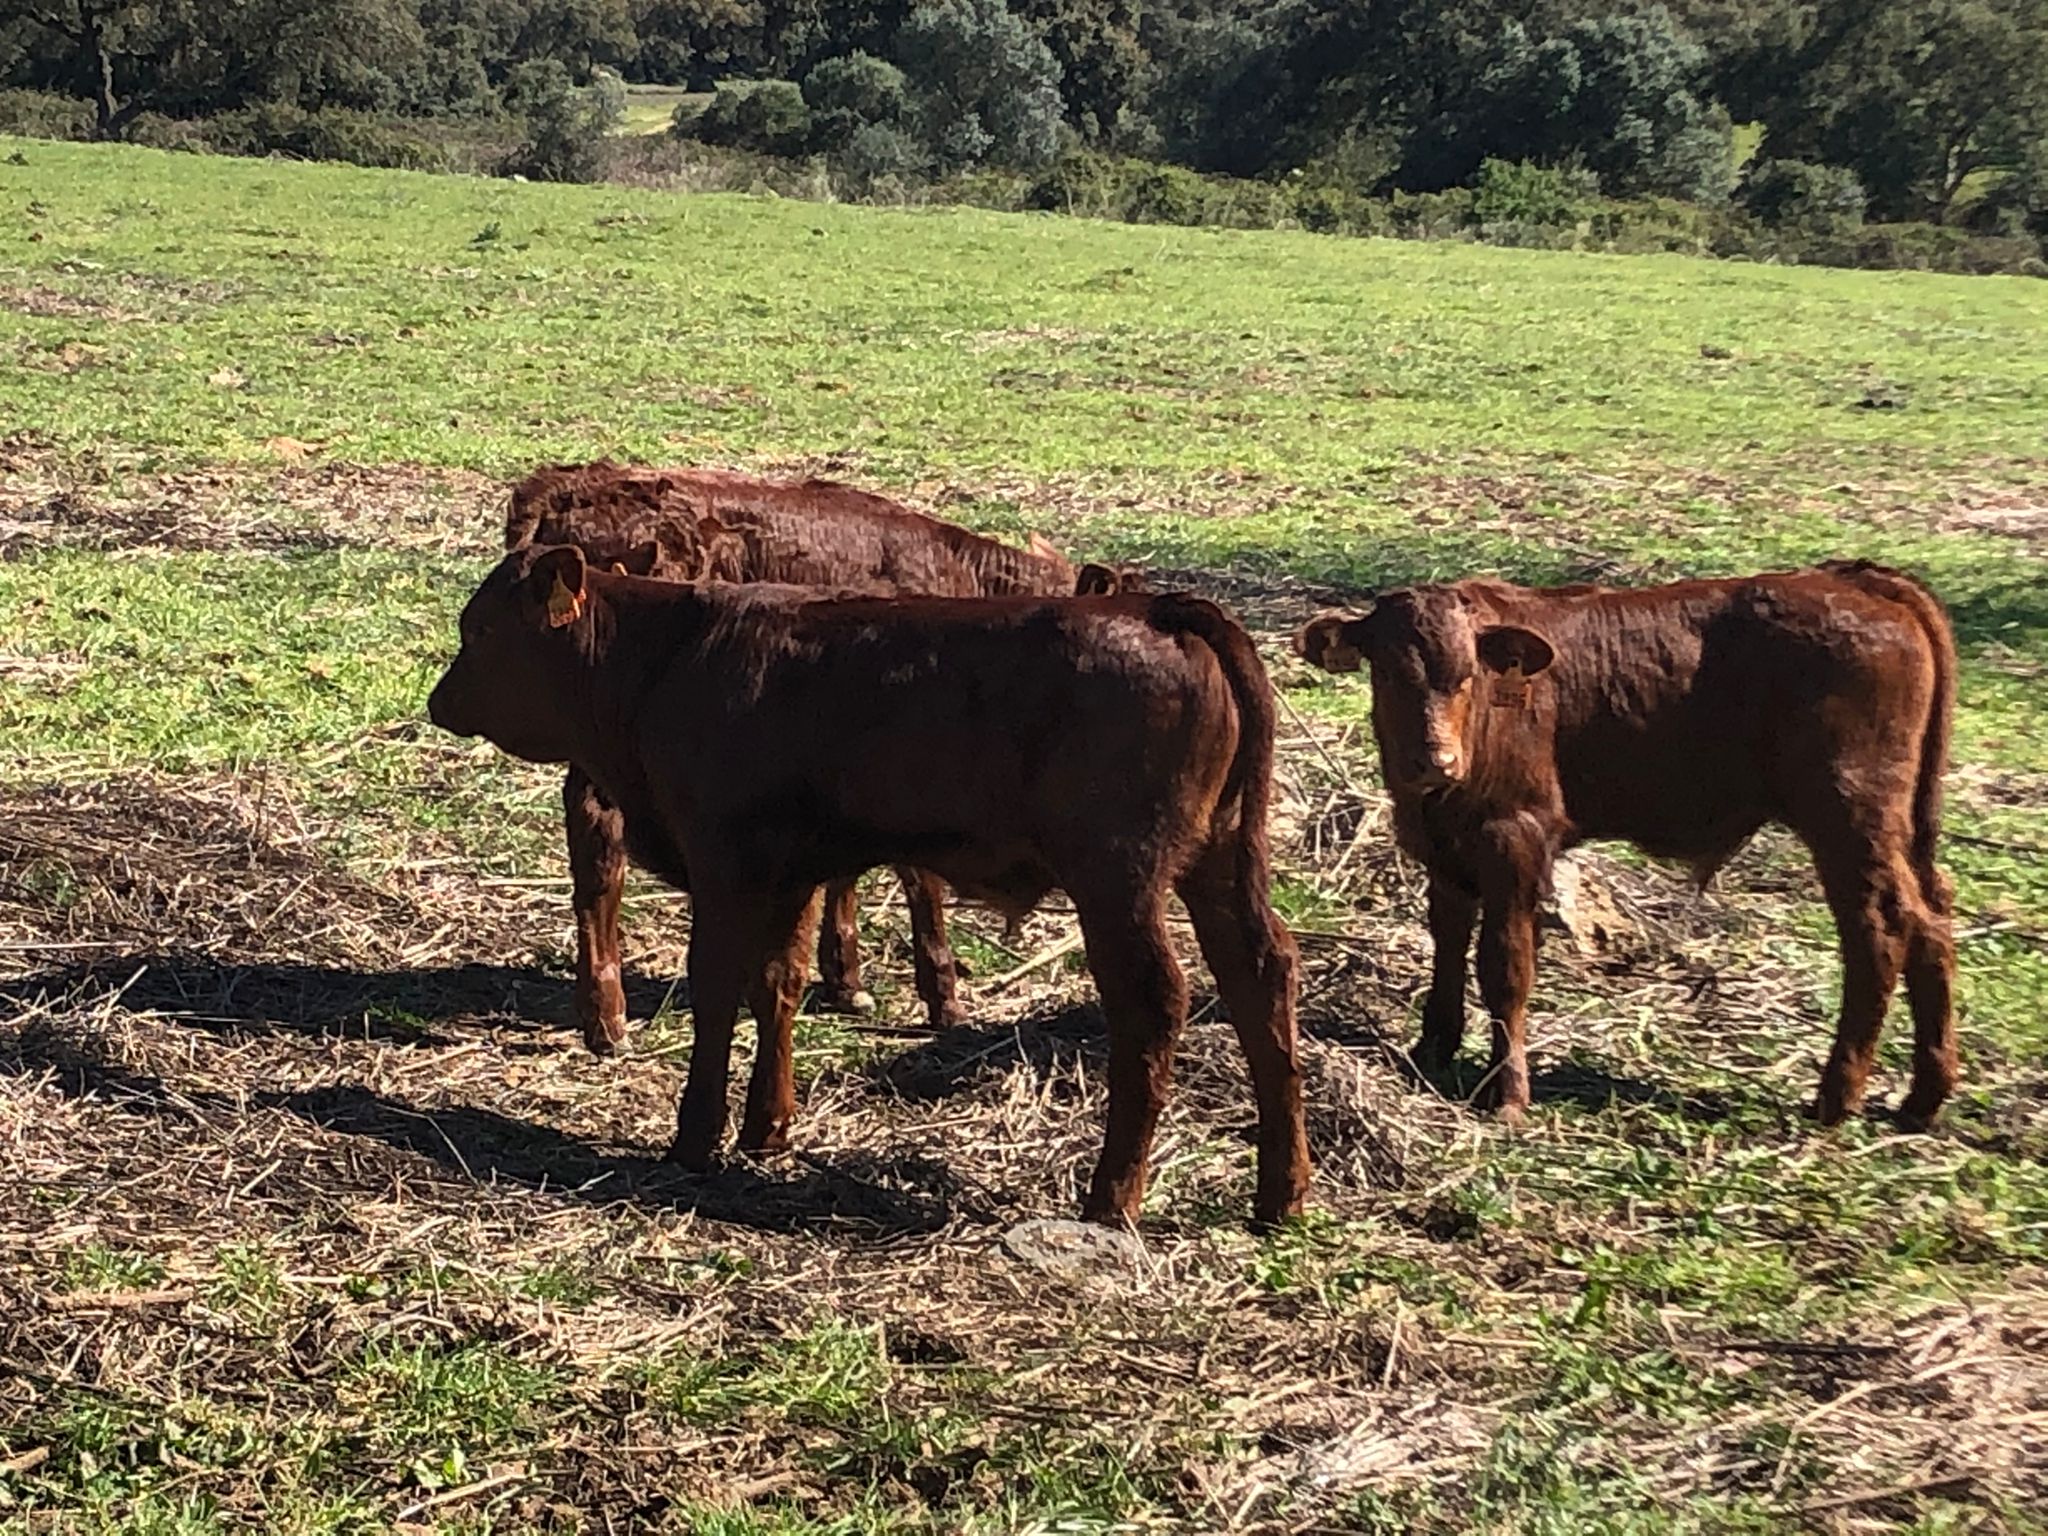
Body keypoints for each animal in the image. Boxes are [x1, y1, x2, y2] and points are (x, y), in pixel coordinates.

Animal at [428, 546, 1310, 1228]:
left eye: (482, 630)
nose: (440, 703)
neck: (671, 659)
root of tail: (1161, 610)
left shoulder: (724, 862)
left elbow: (716, 992)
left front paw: (695, 1138)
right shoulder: (794, 871)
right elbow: (777, 985)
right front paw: (768, 1129)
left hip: (1119, 880)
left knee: (1154, 1001)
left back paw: (1112, 1199)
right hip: (1222, 864)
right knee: (1262, 979)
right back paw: (1281, 1196)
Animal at [504, 461, 1137, 1054]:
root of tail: (566, 485)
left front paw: (845, 979)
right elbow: (919, 875)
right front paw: (943, 996)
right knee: (599, 840)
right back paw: (606, 1017)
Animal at [1295, 561, 1957, 1129]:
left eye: (1466, 678)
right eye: (1388, 673)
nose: (1437, 761)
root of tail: (1856, 579)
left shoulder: (1515, 838)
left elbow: (1505, 965)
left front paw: (1507, 1093)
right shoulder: (1445, 852)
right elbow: (1448, 945)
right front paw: (1430, 1049)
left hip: (1849, 816)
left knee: (1881, 929)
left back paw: (1836, 1096)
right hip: (1897, 827)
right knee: (1932, 919)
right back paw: (1922, 1098)